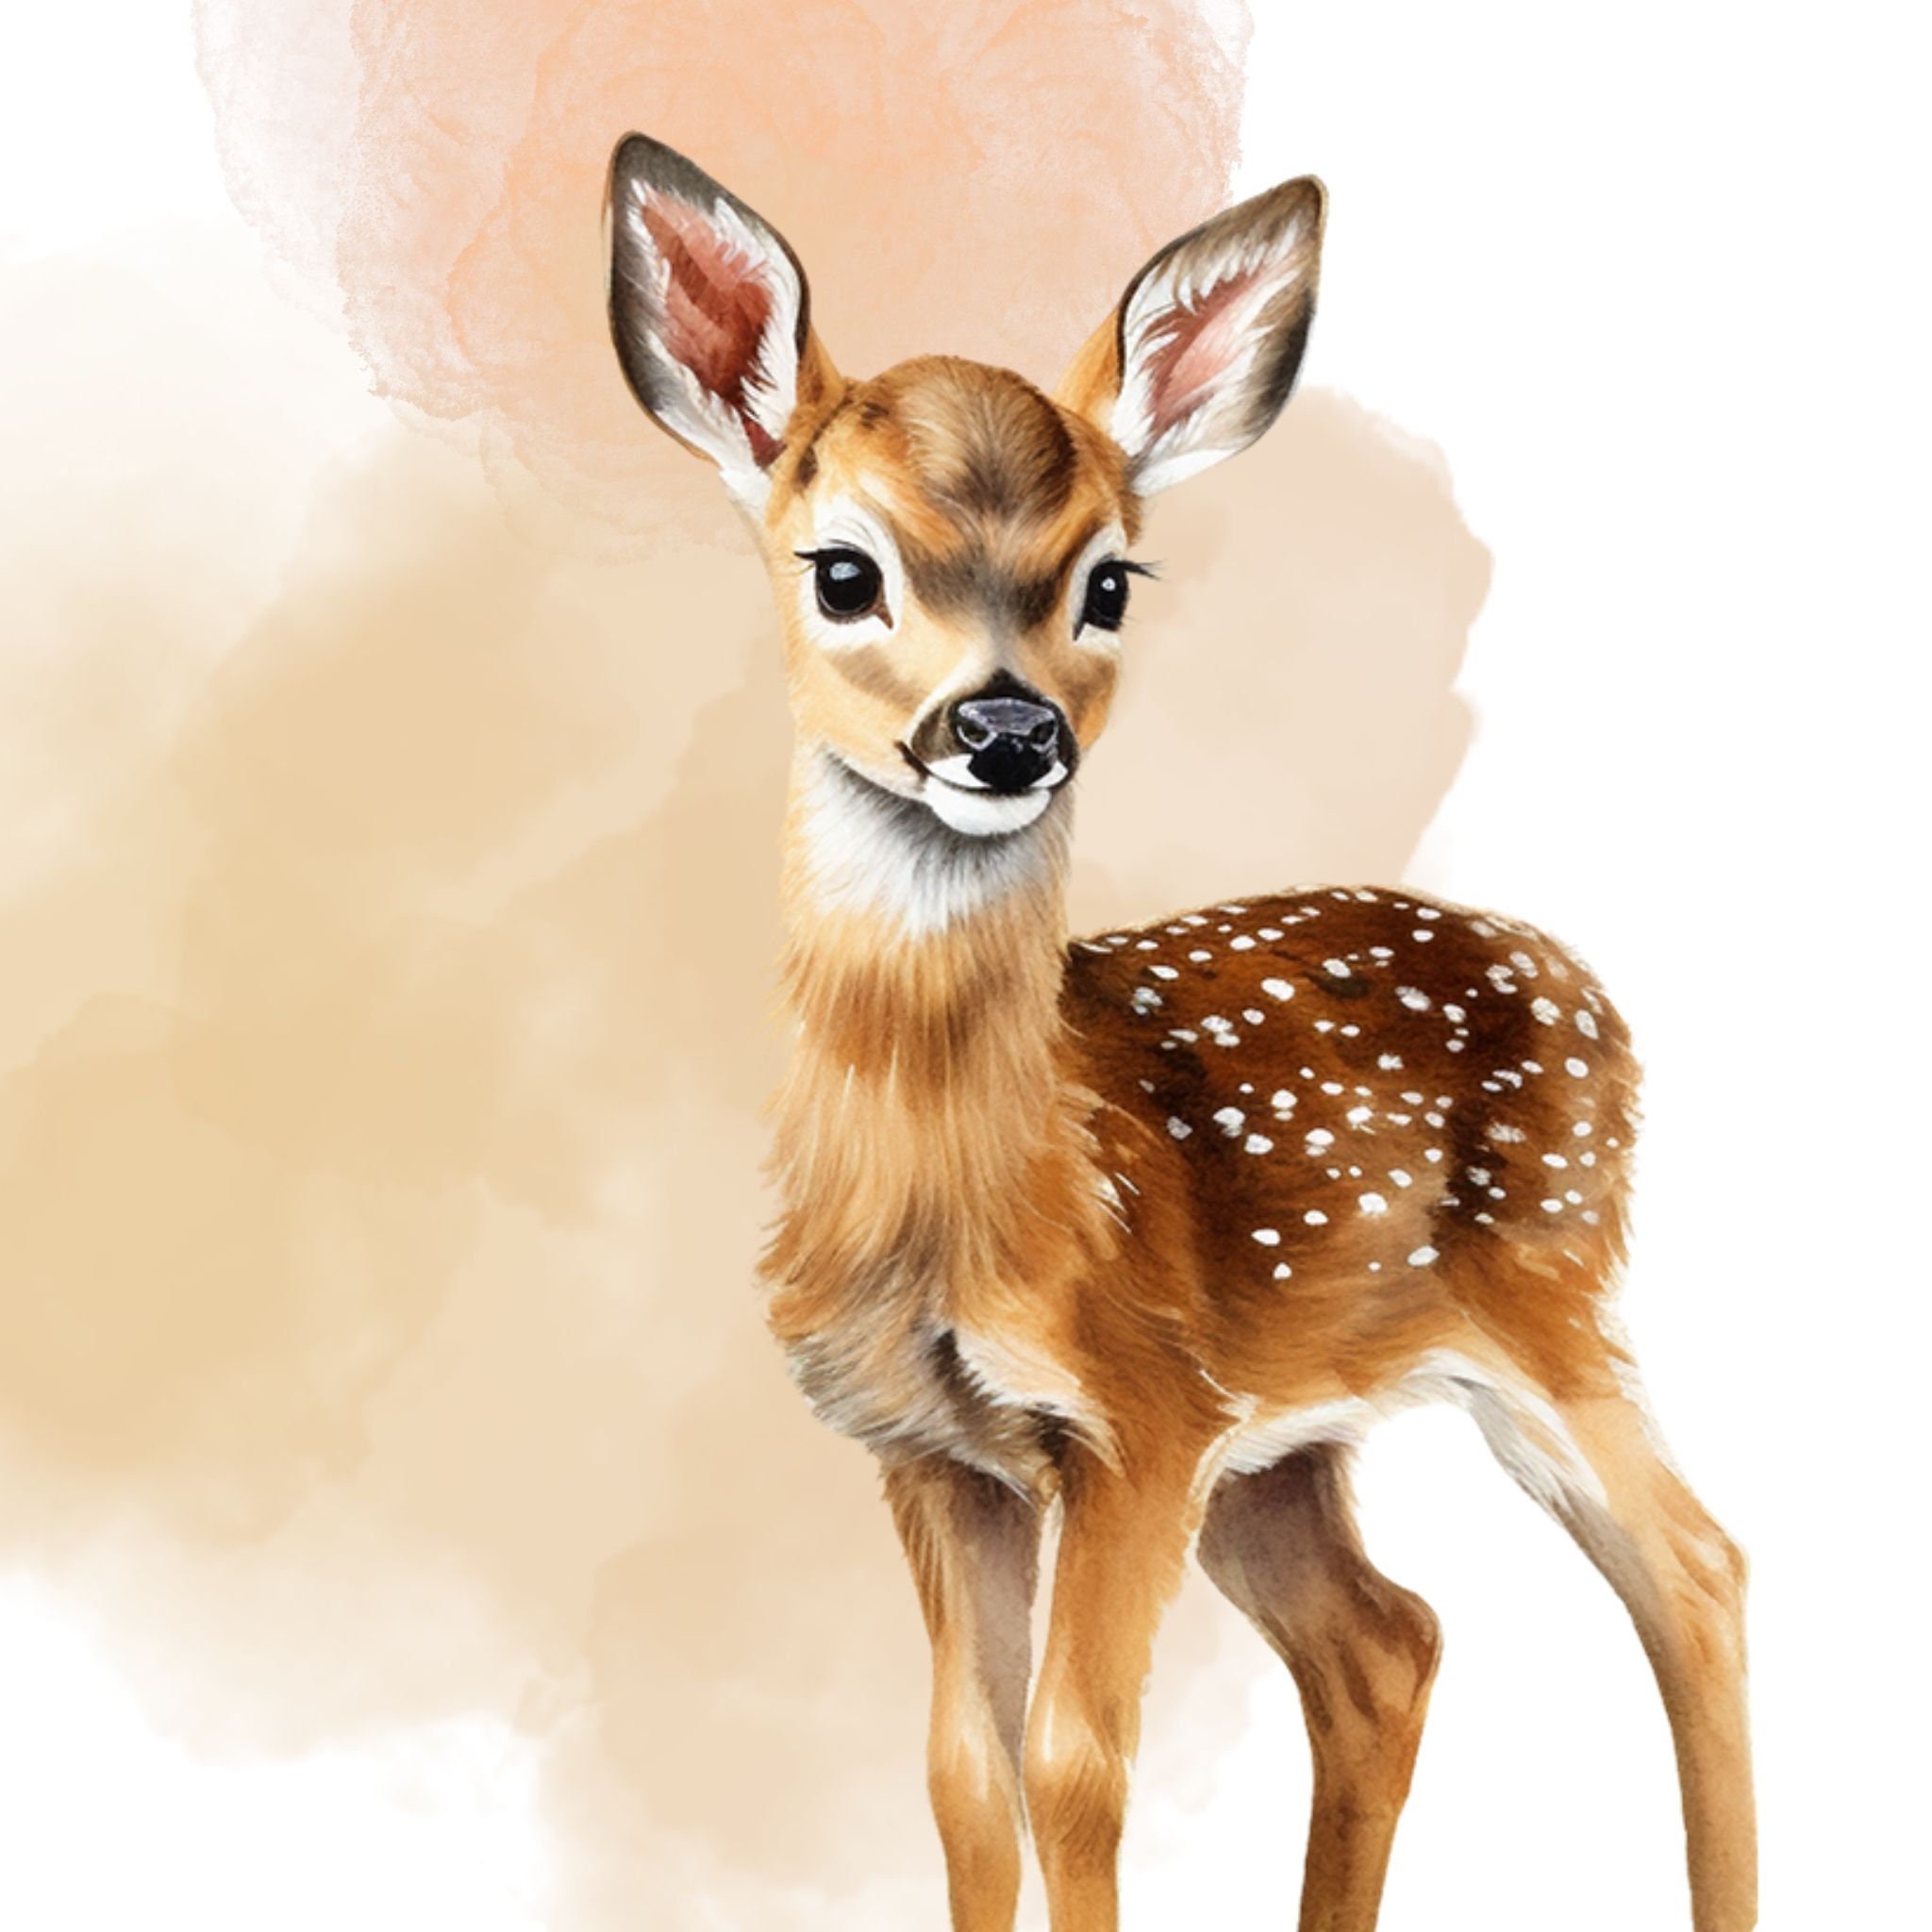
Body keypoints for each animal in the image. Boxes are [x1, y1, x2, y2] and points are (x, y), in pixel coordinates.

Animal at [603, 133, 1756, 1932]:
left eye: (1106, 580)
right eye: (842, 570)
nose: (1008, 730)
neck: (976, 1198)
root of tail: (1590, 993)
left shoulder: (1132, 1417)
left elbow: (1075, 1764)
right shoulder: (935, 1450)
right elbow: (962, 1771)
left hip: (1544, 1298)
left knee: (1694, 1569)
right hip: (1290, 1435)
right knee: (1386, 1645)